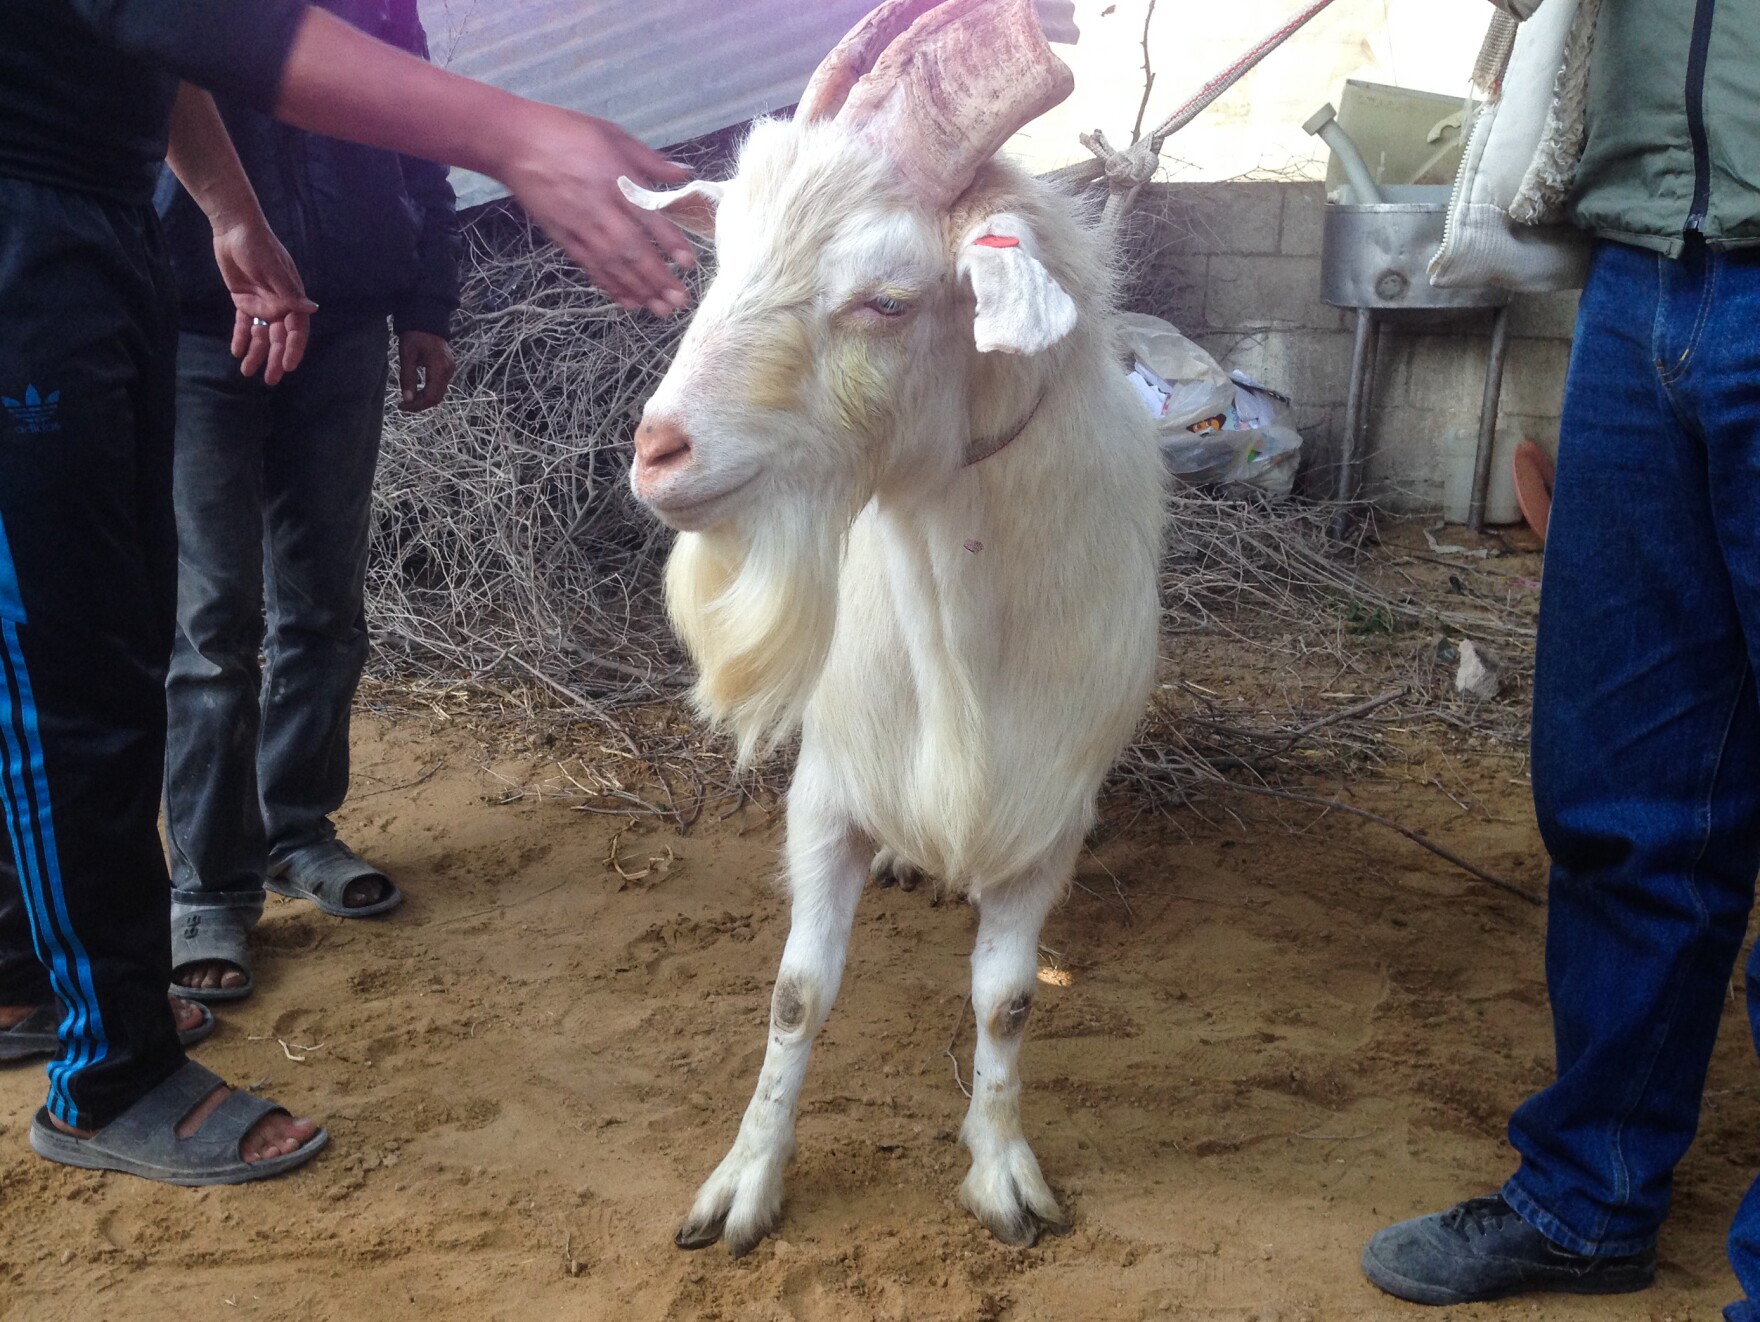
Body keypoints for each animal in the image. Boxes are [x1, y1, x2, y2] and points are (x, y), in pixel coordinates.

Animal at [621, 0, 1165, 1256]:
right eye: (720, 254)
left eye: (885, 297)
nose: (656, 450)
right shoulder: (827, 790)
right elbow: (795, 993)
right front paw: (743, 1183)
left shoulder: (1047, 814)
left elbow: (1005, 999)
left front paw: (1002, 1174)